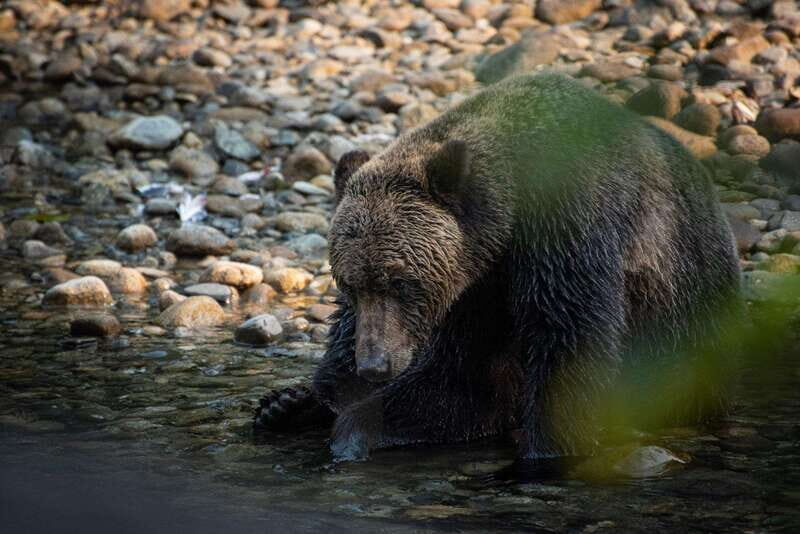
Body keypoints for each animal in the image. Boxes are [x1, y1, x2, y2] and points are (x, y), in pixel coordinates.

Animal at [254, 73, 741, 472]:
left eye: (400, 282)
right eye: (350, 285)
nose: (375, 364)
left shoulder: (566, 229)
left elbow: (565, 339)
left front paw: (547, 451)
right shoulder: (474, 286)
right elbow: (463, 383)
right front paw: (321, 403)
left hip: (683, 317)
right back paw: (286, 406)